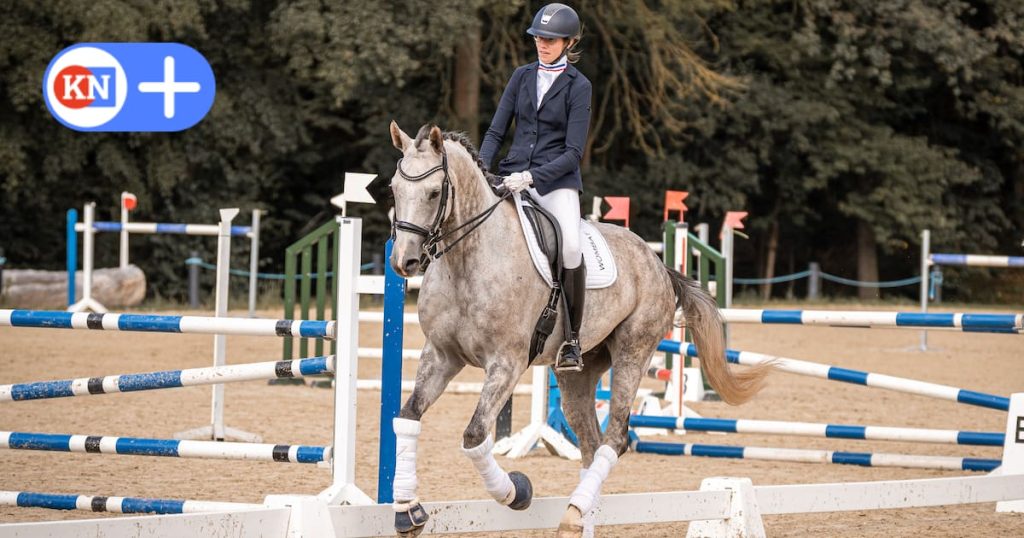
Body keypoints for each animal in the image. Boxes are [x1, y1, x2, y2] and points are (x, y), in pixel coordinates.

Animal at [387, 121, 770, 536]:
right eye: (394, 188)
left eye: (433, 192)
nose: (404, 262)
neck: (467, 259)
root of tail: (656, 263)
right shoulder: (441, 355)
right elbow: (407, 417)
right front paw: (408, 509)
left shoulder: (506, 363)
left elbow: (474, 435)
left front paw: (517, 491)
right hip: (578, 372)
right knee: (590, 442)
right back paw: (580, 514)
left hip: (633, 351)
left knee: (615, 437)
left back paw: (573, 512)